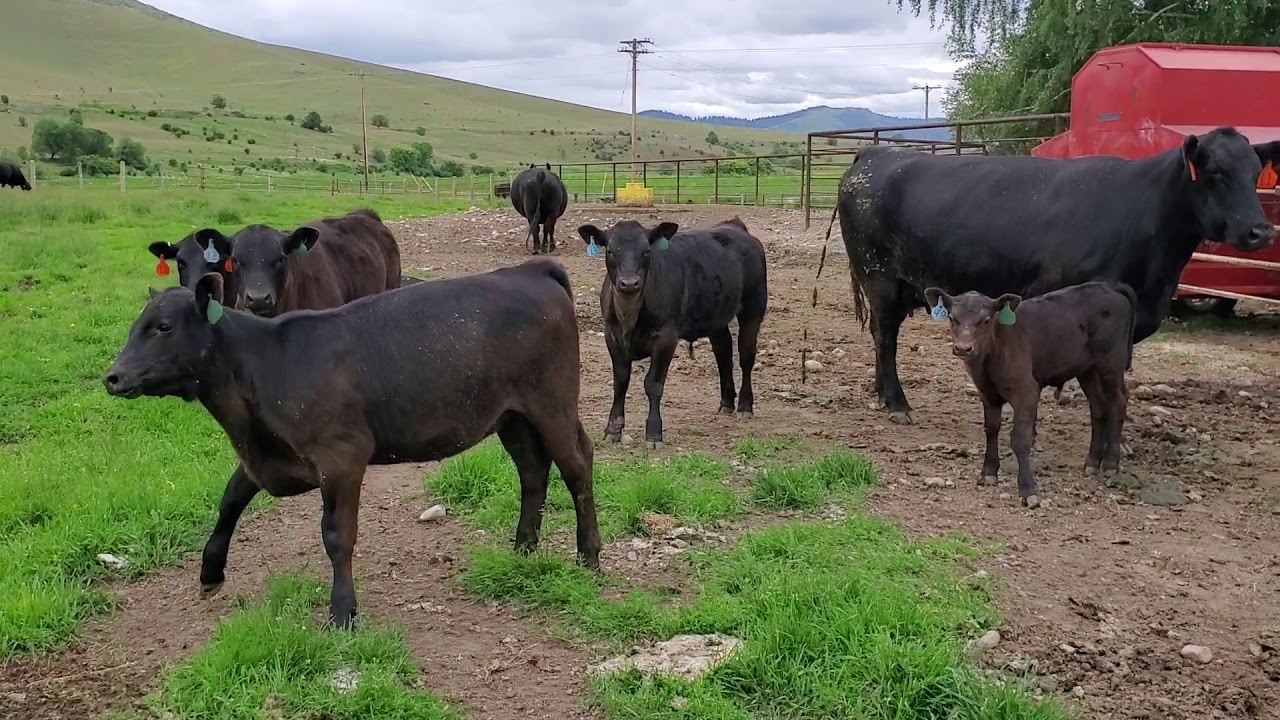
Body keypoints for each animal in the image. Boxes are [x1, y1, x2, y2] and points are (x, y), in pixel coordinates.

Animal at [102, 259, 602, 629]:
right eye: (135, 326)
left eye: (163, 327)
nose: (112, 376)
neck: (263, 366)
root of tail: (529, 270)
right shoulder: (266, 454)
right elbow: (229, 502)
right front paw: (210, 572)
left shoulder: (342, 457)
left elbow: (337, 535)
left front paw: (342, 612)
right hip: (510, 416)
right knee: (533, 470)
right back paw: (523, 547)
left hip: (552, 403)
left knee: (577, 466)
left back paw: (589, 556)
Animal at [576, 217, 767, 449]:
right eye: (611, 251)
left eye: (646, 251)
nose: (629, 283)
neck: (628, 317)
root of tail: (735, 226)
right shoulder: (611, 336)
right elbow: (620, 381)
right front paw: (613, 429)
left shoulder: (666, 338)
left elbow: (653, 384)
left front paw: (653, 433)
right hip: (716, 316)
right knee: (723, 353)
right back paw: (727, 402)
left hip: (754, 307)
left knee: (746, 355)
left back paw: (745, 406)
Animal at [837, 127, 1280, 425]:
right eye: (1216, 172)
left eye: (1256, 173)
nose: (1260, 231)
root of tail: (875, 154)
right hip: (880, 279)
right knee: (885, 337)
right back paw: (898, 403)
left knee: (882, 336)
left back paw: (882, 394)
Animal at [923, 281, 1138, 509]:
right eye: (952, 318)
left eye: (986, 320)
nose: (963, 348)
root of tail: (1107, 286)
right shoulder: (987, 394)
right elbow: (991, 430)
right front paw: (988, 473)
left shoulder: (1027, 392)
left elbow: (1020, 439)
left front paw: (1028, 490)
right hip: (1087, 370)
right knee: (1098, 408)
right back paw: (1092, 462)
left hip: (1111, 363)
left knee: (1118, 401)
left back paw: (1110, 462)